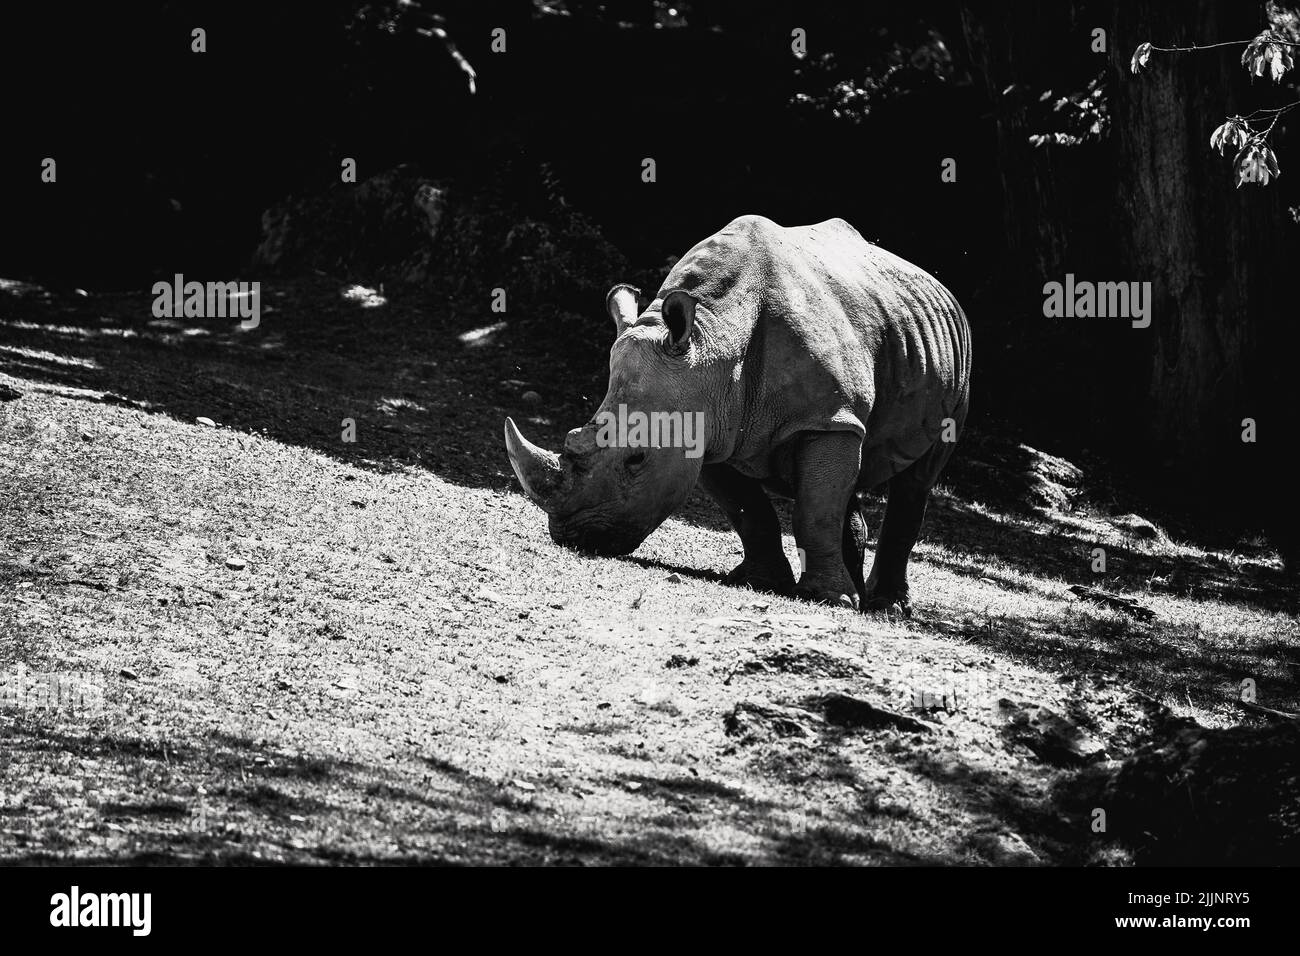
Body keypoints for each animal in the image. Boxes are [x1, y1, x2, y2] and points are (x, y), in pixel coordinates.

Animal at [504, 215, 971, 613]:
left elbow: (814, 509)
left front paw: (828, 600)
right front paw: (760, 582)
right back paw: (856, 590)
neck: (714, 338)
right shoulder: (707, 424)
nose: (572, 534)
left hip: (956, 365)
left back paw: (883, 605)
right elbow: (749, 509)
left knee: (916, 479)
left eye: (637, 459)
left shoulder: (825, 418)